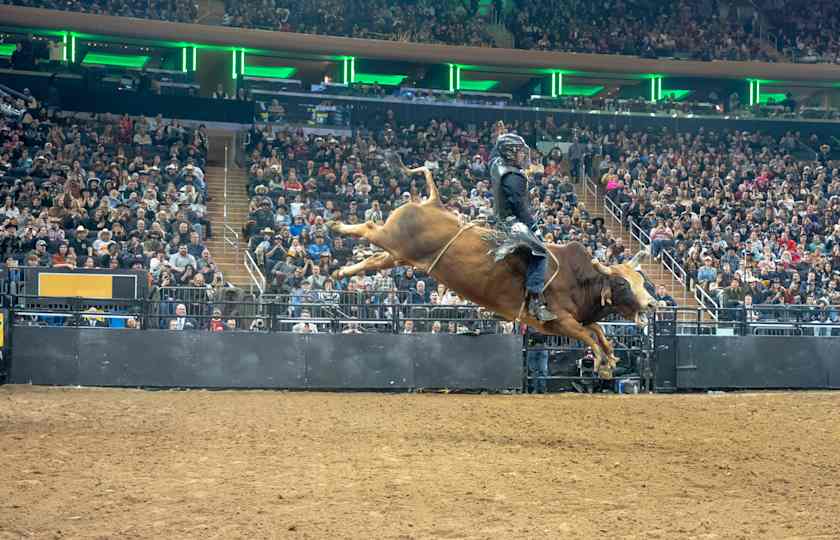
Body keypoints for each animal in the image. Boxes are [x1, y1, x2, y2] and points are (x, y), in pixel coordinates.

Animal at [328, 164, 657, 377]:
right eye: (623, 284)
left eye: (642, 280)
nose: (654, 304)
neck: (578, 279)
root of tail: (433, 204)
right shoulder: (558, 321)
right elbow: (588, 334)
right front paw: (602, 361)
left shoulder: (568, 322)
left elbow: (598, 331)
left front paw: (610, 358)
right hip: (391, 239)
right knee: (369, 228)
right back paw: (337, 226)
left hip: (398, 255)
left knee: (373, 259)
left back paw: (340, 273)